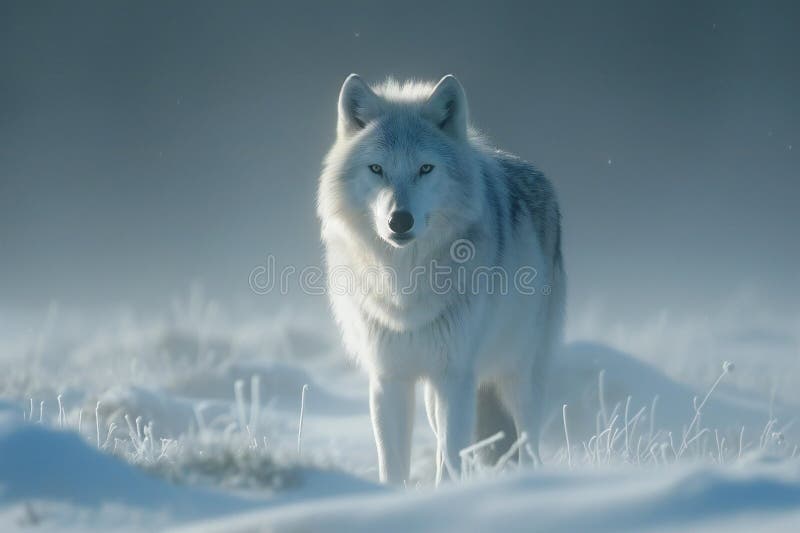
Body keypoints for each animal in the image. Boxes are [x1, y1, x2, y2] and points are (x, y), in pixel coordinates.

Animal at [318, 74, 565, 485]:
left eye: (425, 168)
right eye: (377, 169)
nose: (399, 220)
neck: (405, 284)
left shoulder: (456, 377)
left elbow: (450, 463)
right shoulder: (389, 378)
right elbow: (394, 467)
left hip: (519, 377)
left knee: (528, 445)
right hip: (437, 395)